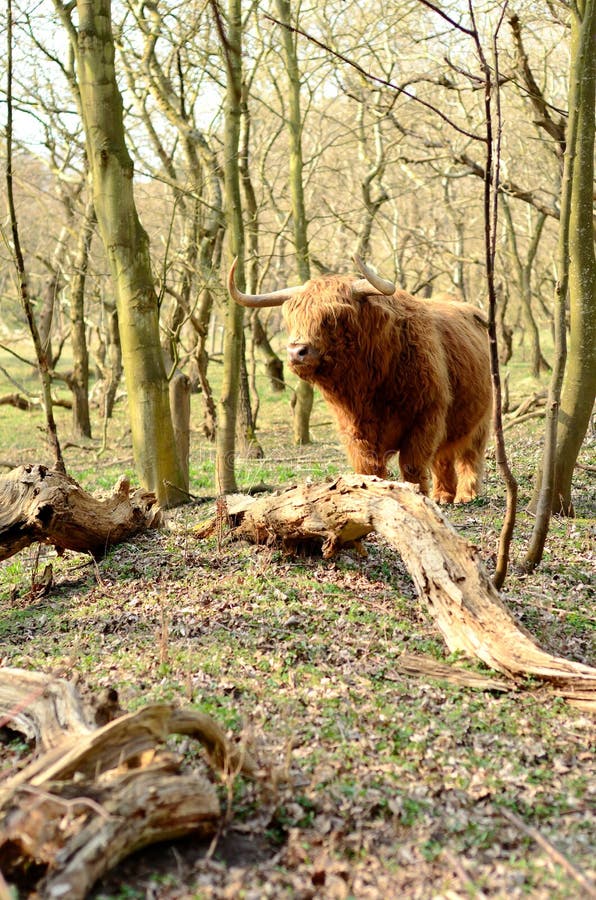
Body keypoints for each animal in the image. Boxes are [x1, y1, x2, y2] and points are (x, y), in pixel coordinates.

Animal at [228, 256, 492, 503]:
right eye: (291, 319)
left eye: (332, 317)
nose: (296, 351)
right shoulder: (354, 429)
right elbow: (368, 468)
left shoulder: (426, 415)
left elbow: (412, 465)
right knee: (444, 457)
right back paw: (443, 495)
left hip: (481, 420)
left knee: (469, 456)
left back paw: (466, 495)